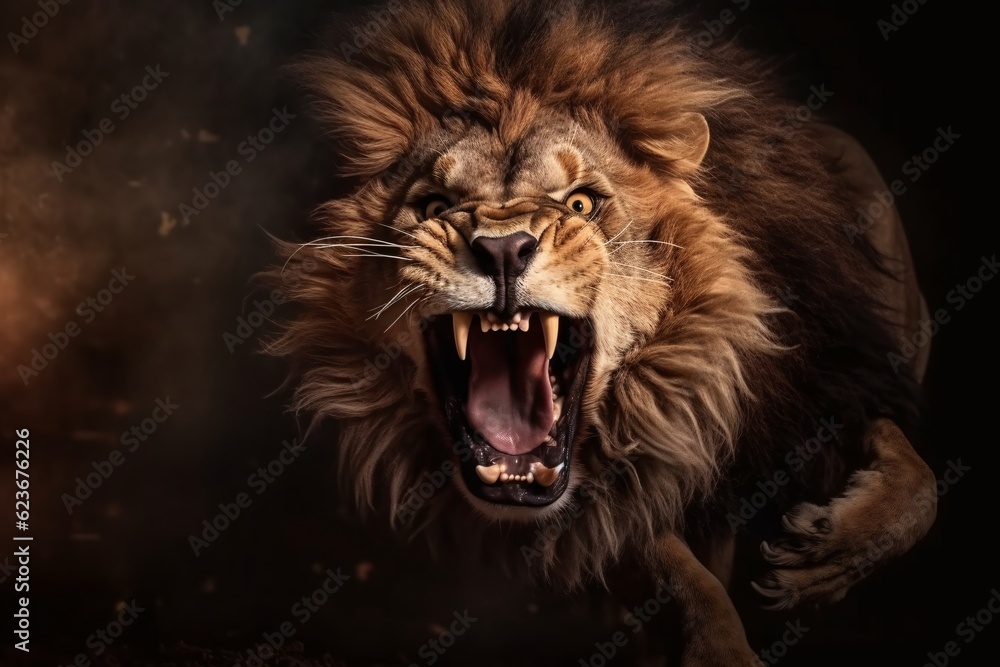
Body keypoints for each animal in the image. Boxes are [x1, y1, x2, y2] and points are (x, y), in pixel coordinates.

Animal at [269, 1, 938, 663]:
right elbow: (680, 576)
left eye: (582, 204)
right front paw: (720, 643)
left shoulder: (830, 380)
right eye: (434, 207)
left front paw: (830, 552)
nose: (503, 248)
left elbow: (917, 480)